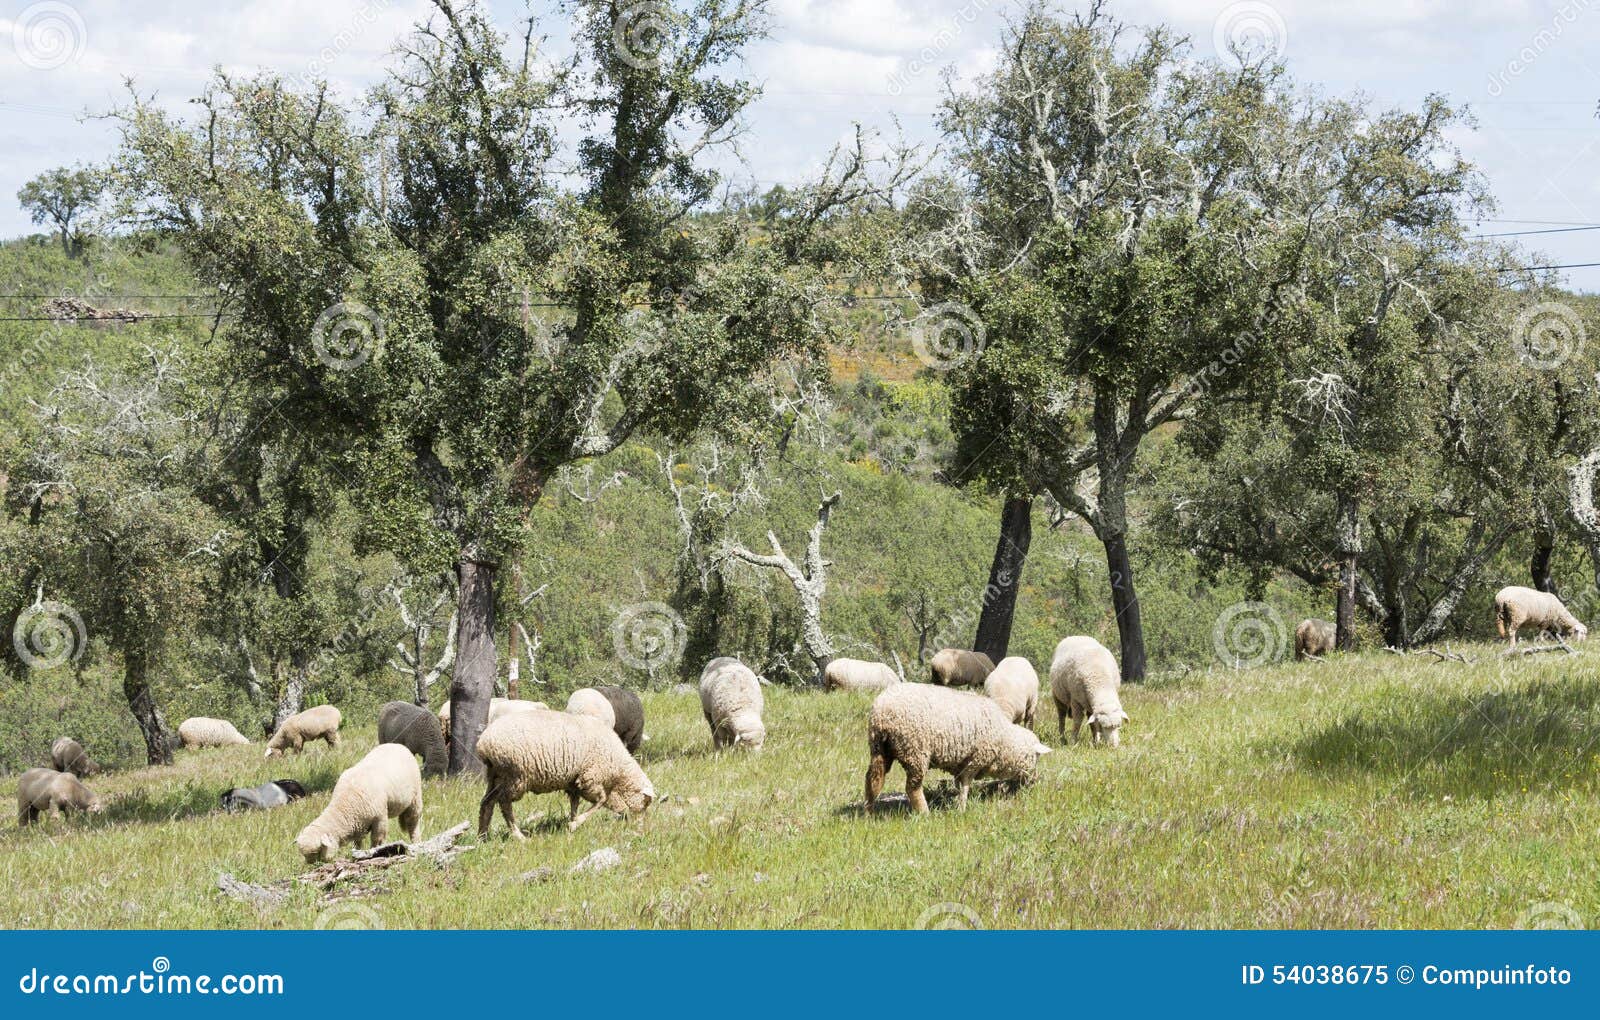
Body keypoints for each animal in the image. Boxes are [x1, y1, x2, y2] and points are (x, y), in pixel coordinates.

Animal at [474, 709, 655, 839]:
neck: (618, 769)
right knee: (504, 803)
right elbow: (601, 800)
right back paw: (518, 836)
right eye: (646, 803)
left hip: (496, 776)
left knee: (487, 802)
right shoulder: (590, 778)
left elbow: (575, 804)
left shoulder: (575, 783)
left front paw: (573, 823)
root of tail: (484, 743)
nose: (640, 829)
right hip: (515, 776)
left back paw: (482, 836)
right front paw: (575, 824)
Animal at [865, 683, 1050, 814]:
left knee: (872, 779)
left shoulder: (962, 763)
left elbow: (959, 784)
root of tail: (882, 710)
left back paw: (869, 811)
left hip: (879, 748)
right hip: (915, 750)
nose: (1034, 781)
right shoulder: (975, 759)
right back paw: (925, 813)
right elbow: (965, 785)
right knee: (912, 787)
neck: (1004, 739)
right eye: (1036, 758)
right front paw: (961, 808)